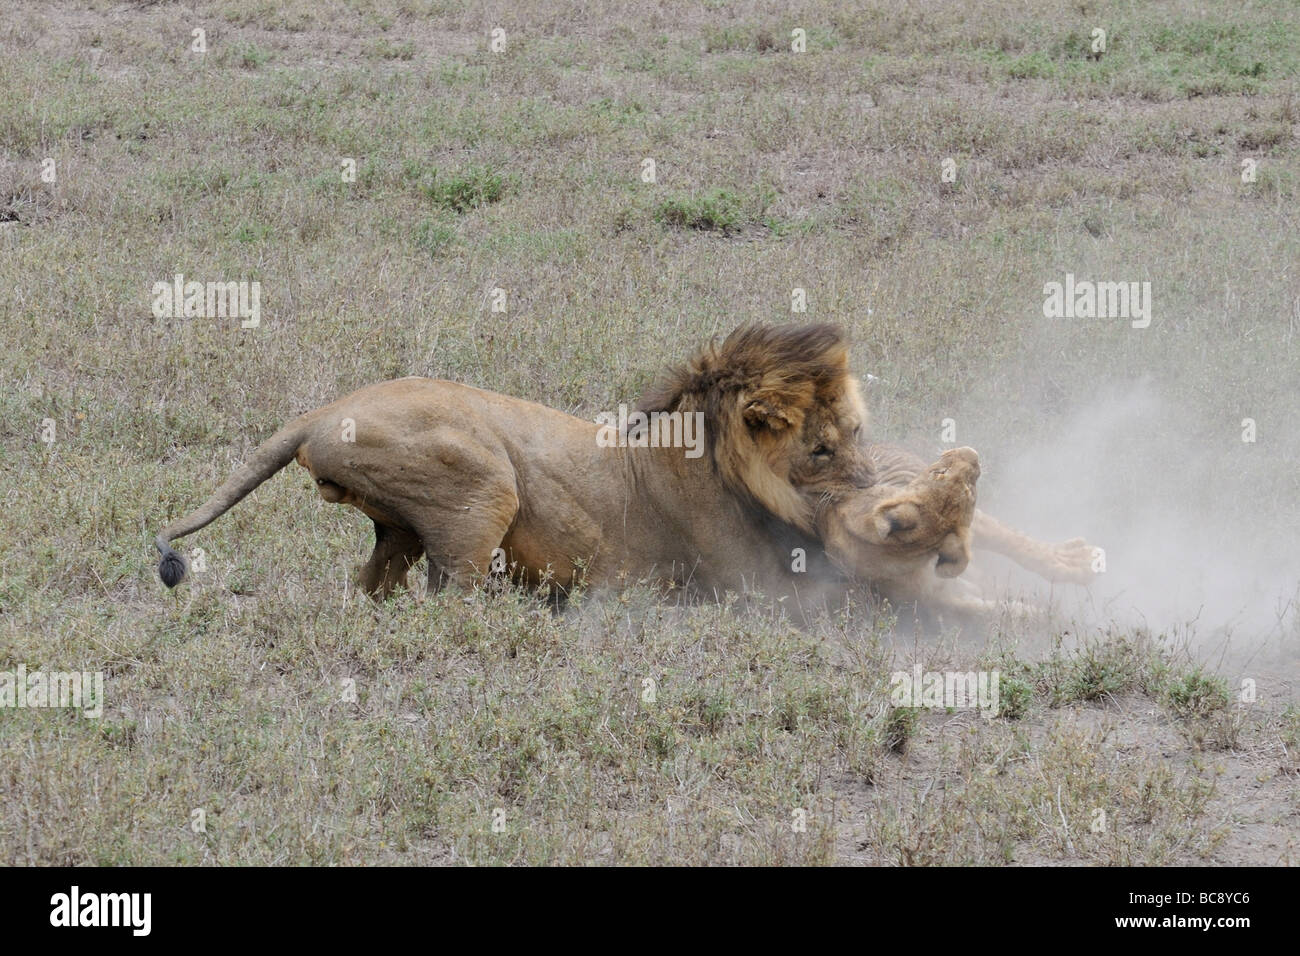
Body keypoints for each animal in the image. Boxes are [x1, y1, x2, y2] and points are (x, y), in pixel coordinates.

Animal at [155, 323, 973, 607]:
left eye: (859, 432)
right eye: (824, 448)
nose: (871, 489)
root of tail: (324, 411)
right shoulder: (756, 587)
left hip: (401, 530)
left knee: (376, 587)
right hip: (484, 485)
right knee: (447, 600)